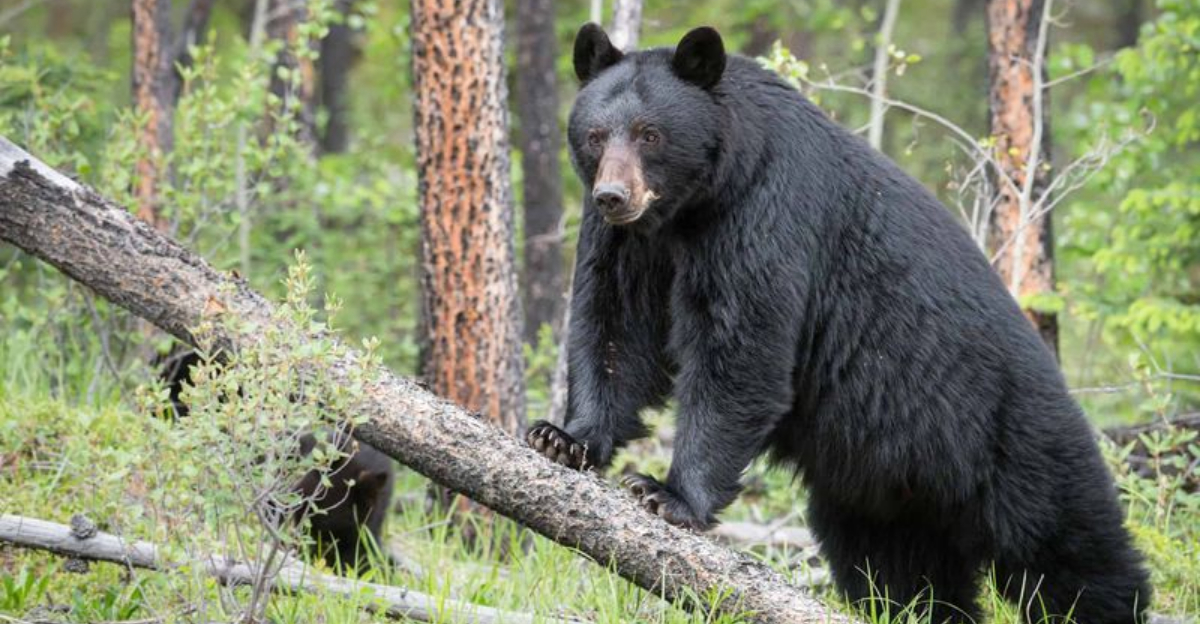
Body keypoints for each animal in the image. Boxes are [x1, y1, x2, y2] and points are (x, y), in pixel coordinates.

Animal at [527, 23, 1150, 624]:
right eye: (596, 135)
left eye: (650, 133)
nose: (613, 195)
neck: (692, 203)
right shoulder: (634, 243)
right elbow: (615, 323)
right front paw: (563, 437)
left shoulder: (764, 213)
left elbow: (741, 348)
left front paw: (669, 493)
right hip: (876, 492)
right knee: (901, 576)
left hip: (1018, 447)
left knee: (1070, 554)